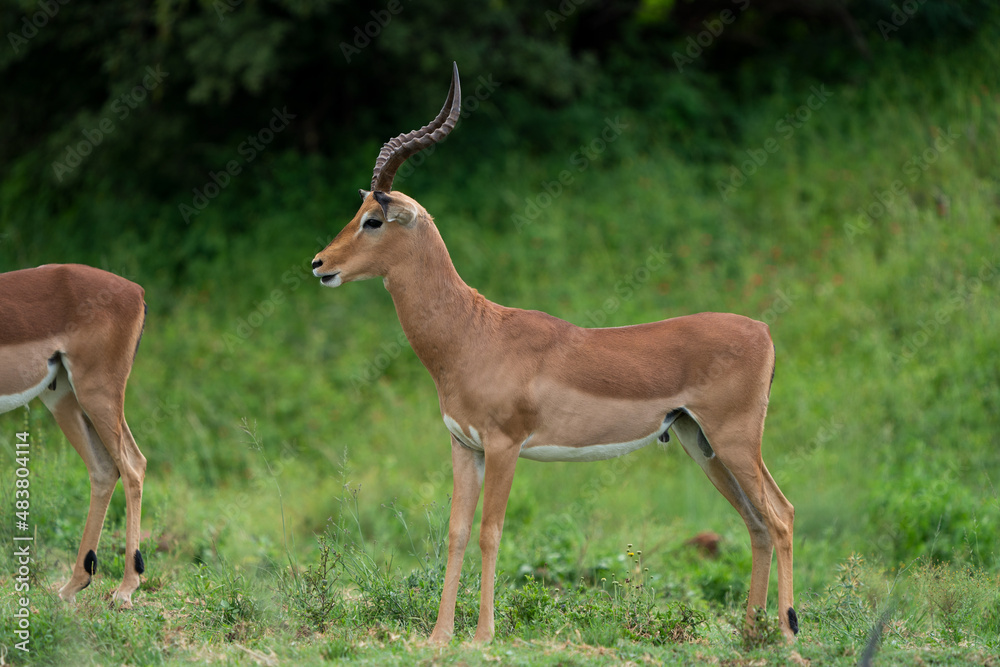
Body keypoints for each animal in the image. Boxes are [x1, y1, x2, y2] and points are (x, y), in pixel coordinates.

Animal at [0, 264, 148, 606]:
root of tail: (136, 291)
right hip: (65, 398)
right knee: (105, 469)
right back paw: (73, 586)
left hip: (96, 393)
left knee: (133, 465)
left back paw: (124, 590)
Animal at [311, 63, 796, 643]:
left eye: (374, 219)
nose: (319, 264)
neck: (471, 335)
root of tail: (763, 331)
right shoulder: (463, 446)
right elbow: (455, 531)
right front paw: (439, 636)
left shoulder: (504, 445)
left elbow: (491, 532)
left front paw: (483, 636)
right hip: (699, 442)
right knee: (755, 522)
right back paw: (750, 635)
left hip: (736, 440)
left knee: (782, 515)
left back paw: (790, 634)